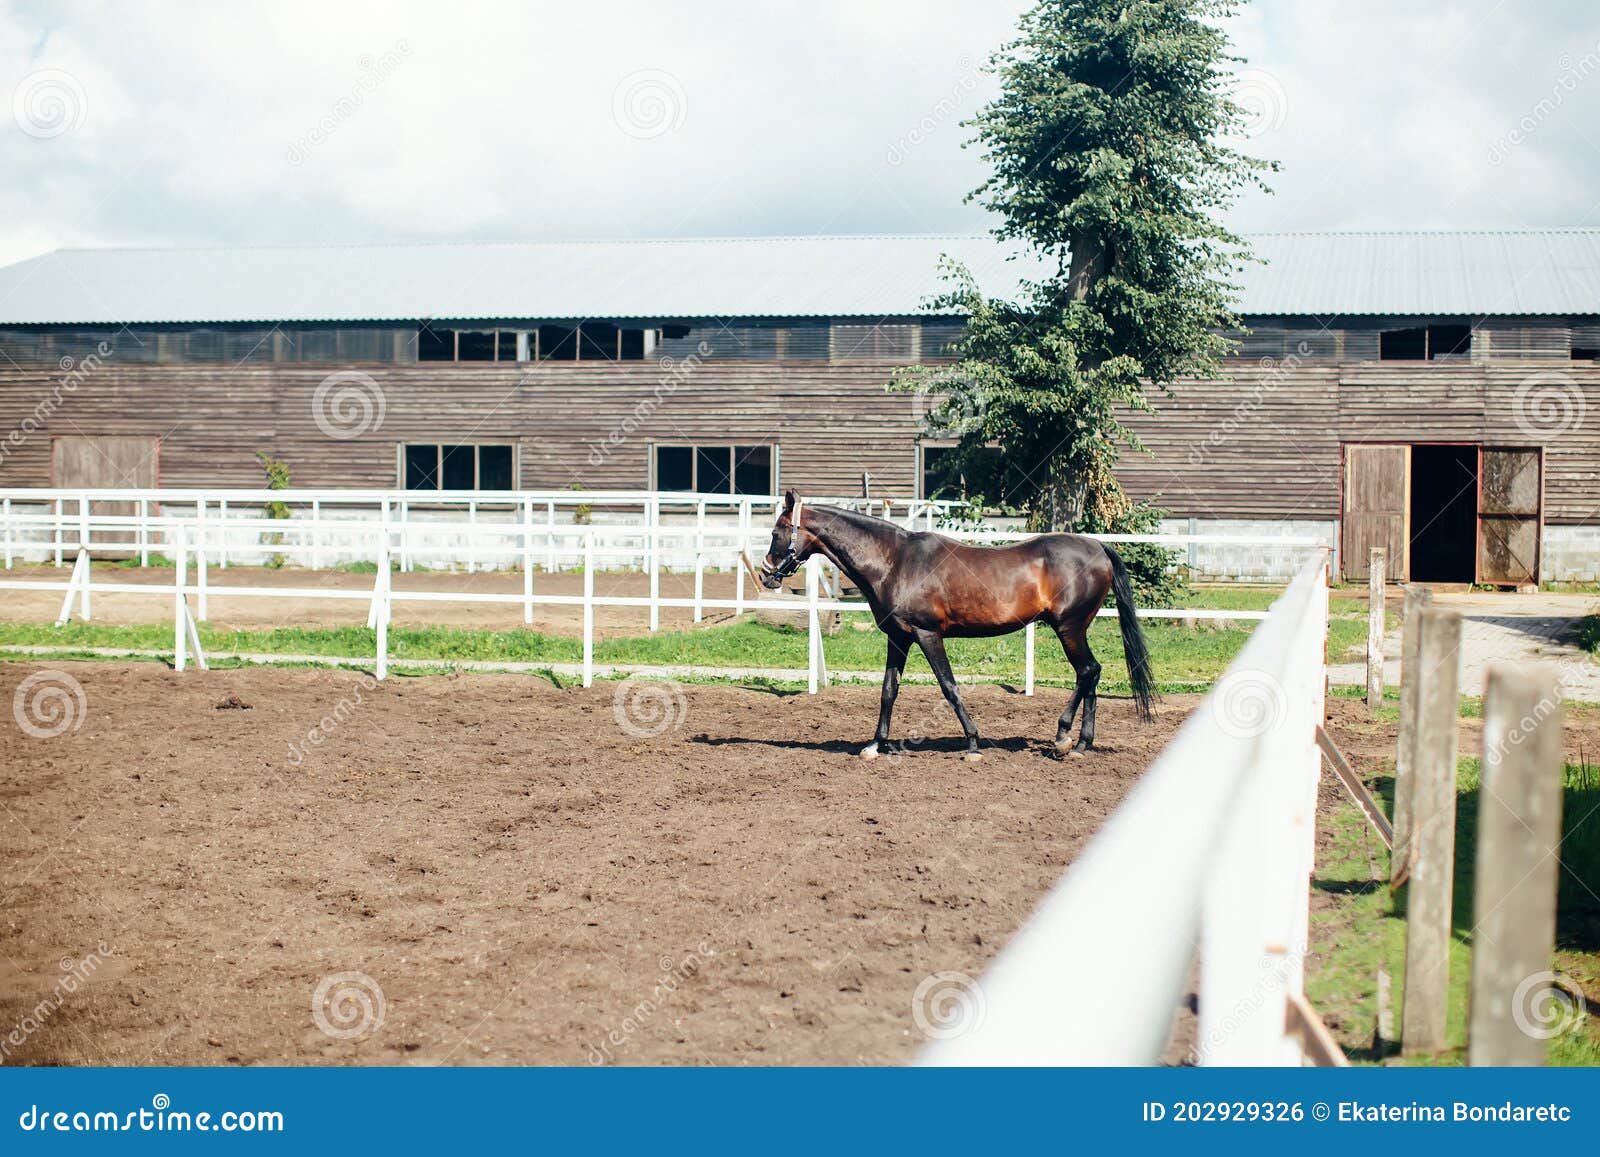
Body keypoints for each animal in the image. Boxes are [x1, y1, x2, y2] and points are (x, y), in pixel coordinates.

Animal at [756, 491, 1155, 761]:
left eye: (778, 531)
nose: (765, 574)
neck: (895, 560)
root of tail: (1099, 548)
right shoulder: (899, 638)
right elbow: (888, 691)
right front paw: (874, 745)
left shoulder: (927, 634)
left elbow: (949, 687)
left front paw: (974, 744)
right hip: (1074, 630)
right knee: (1092, 673)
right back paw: (1082, 743)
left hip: (1069, 628)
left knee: (1087, 671)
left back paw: (1063, 739)